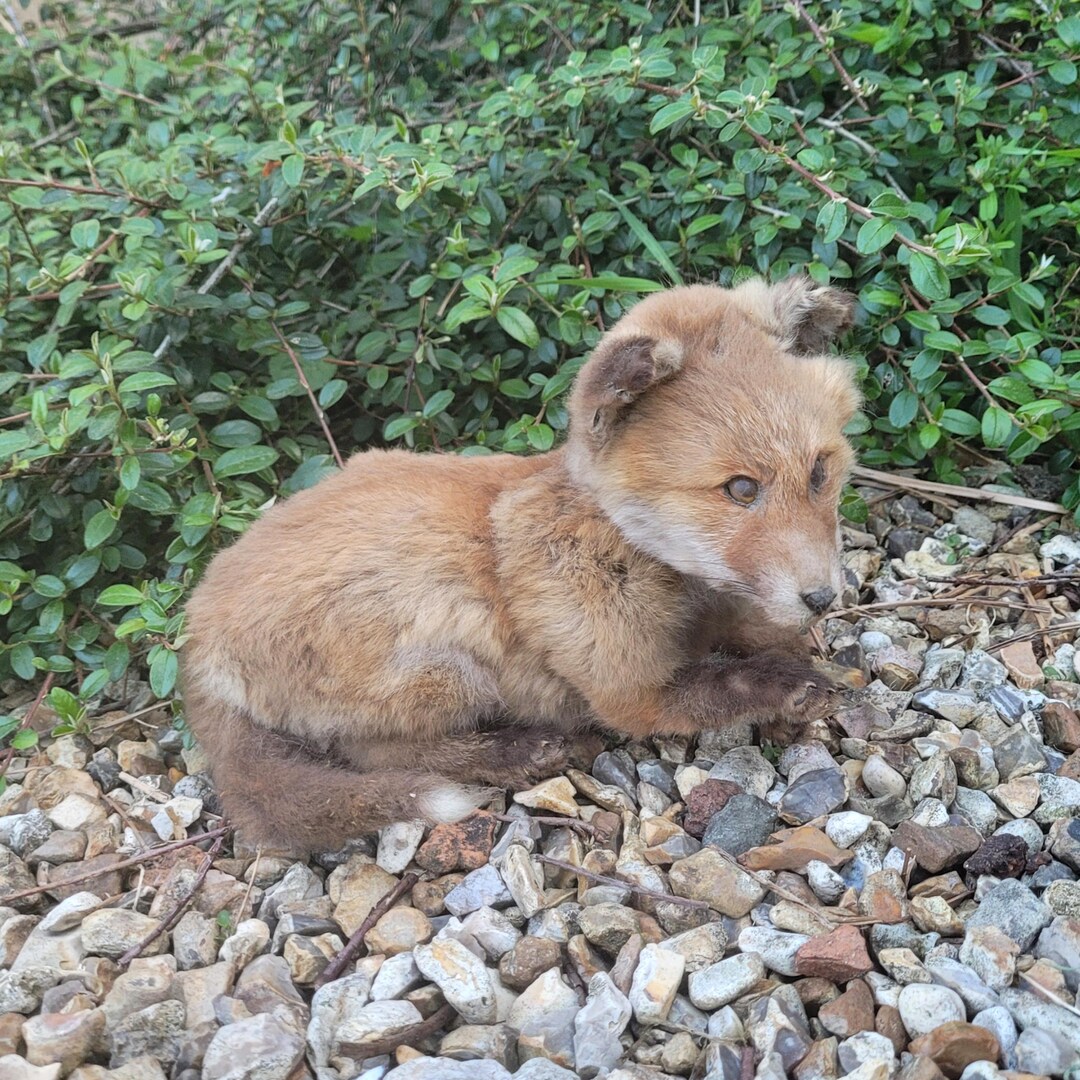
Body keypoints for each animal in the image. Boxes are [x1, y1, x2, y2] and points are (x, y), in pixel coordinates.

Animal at [181, 274, 860, 853]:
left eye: (819, 472)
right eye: (741, 489)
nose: (823, 598)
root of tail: (195, 633)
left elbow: (754, 636)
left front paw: (797, 670)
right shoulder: (630, 691)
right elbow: (722, 685)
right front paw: (787, 690)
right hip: (444, 656)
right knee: (375, 755)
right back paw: (523, 751)